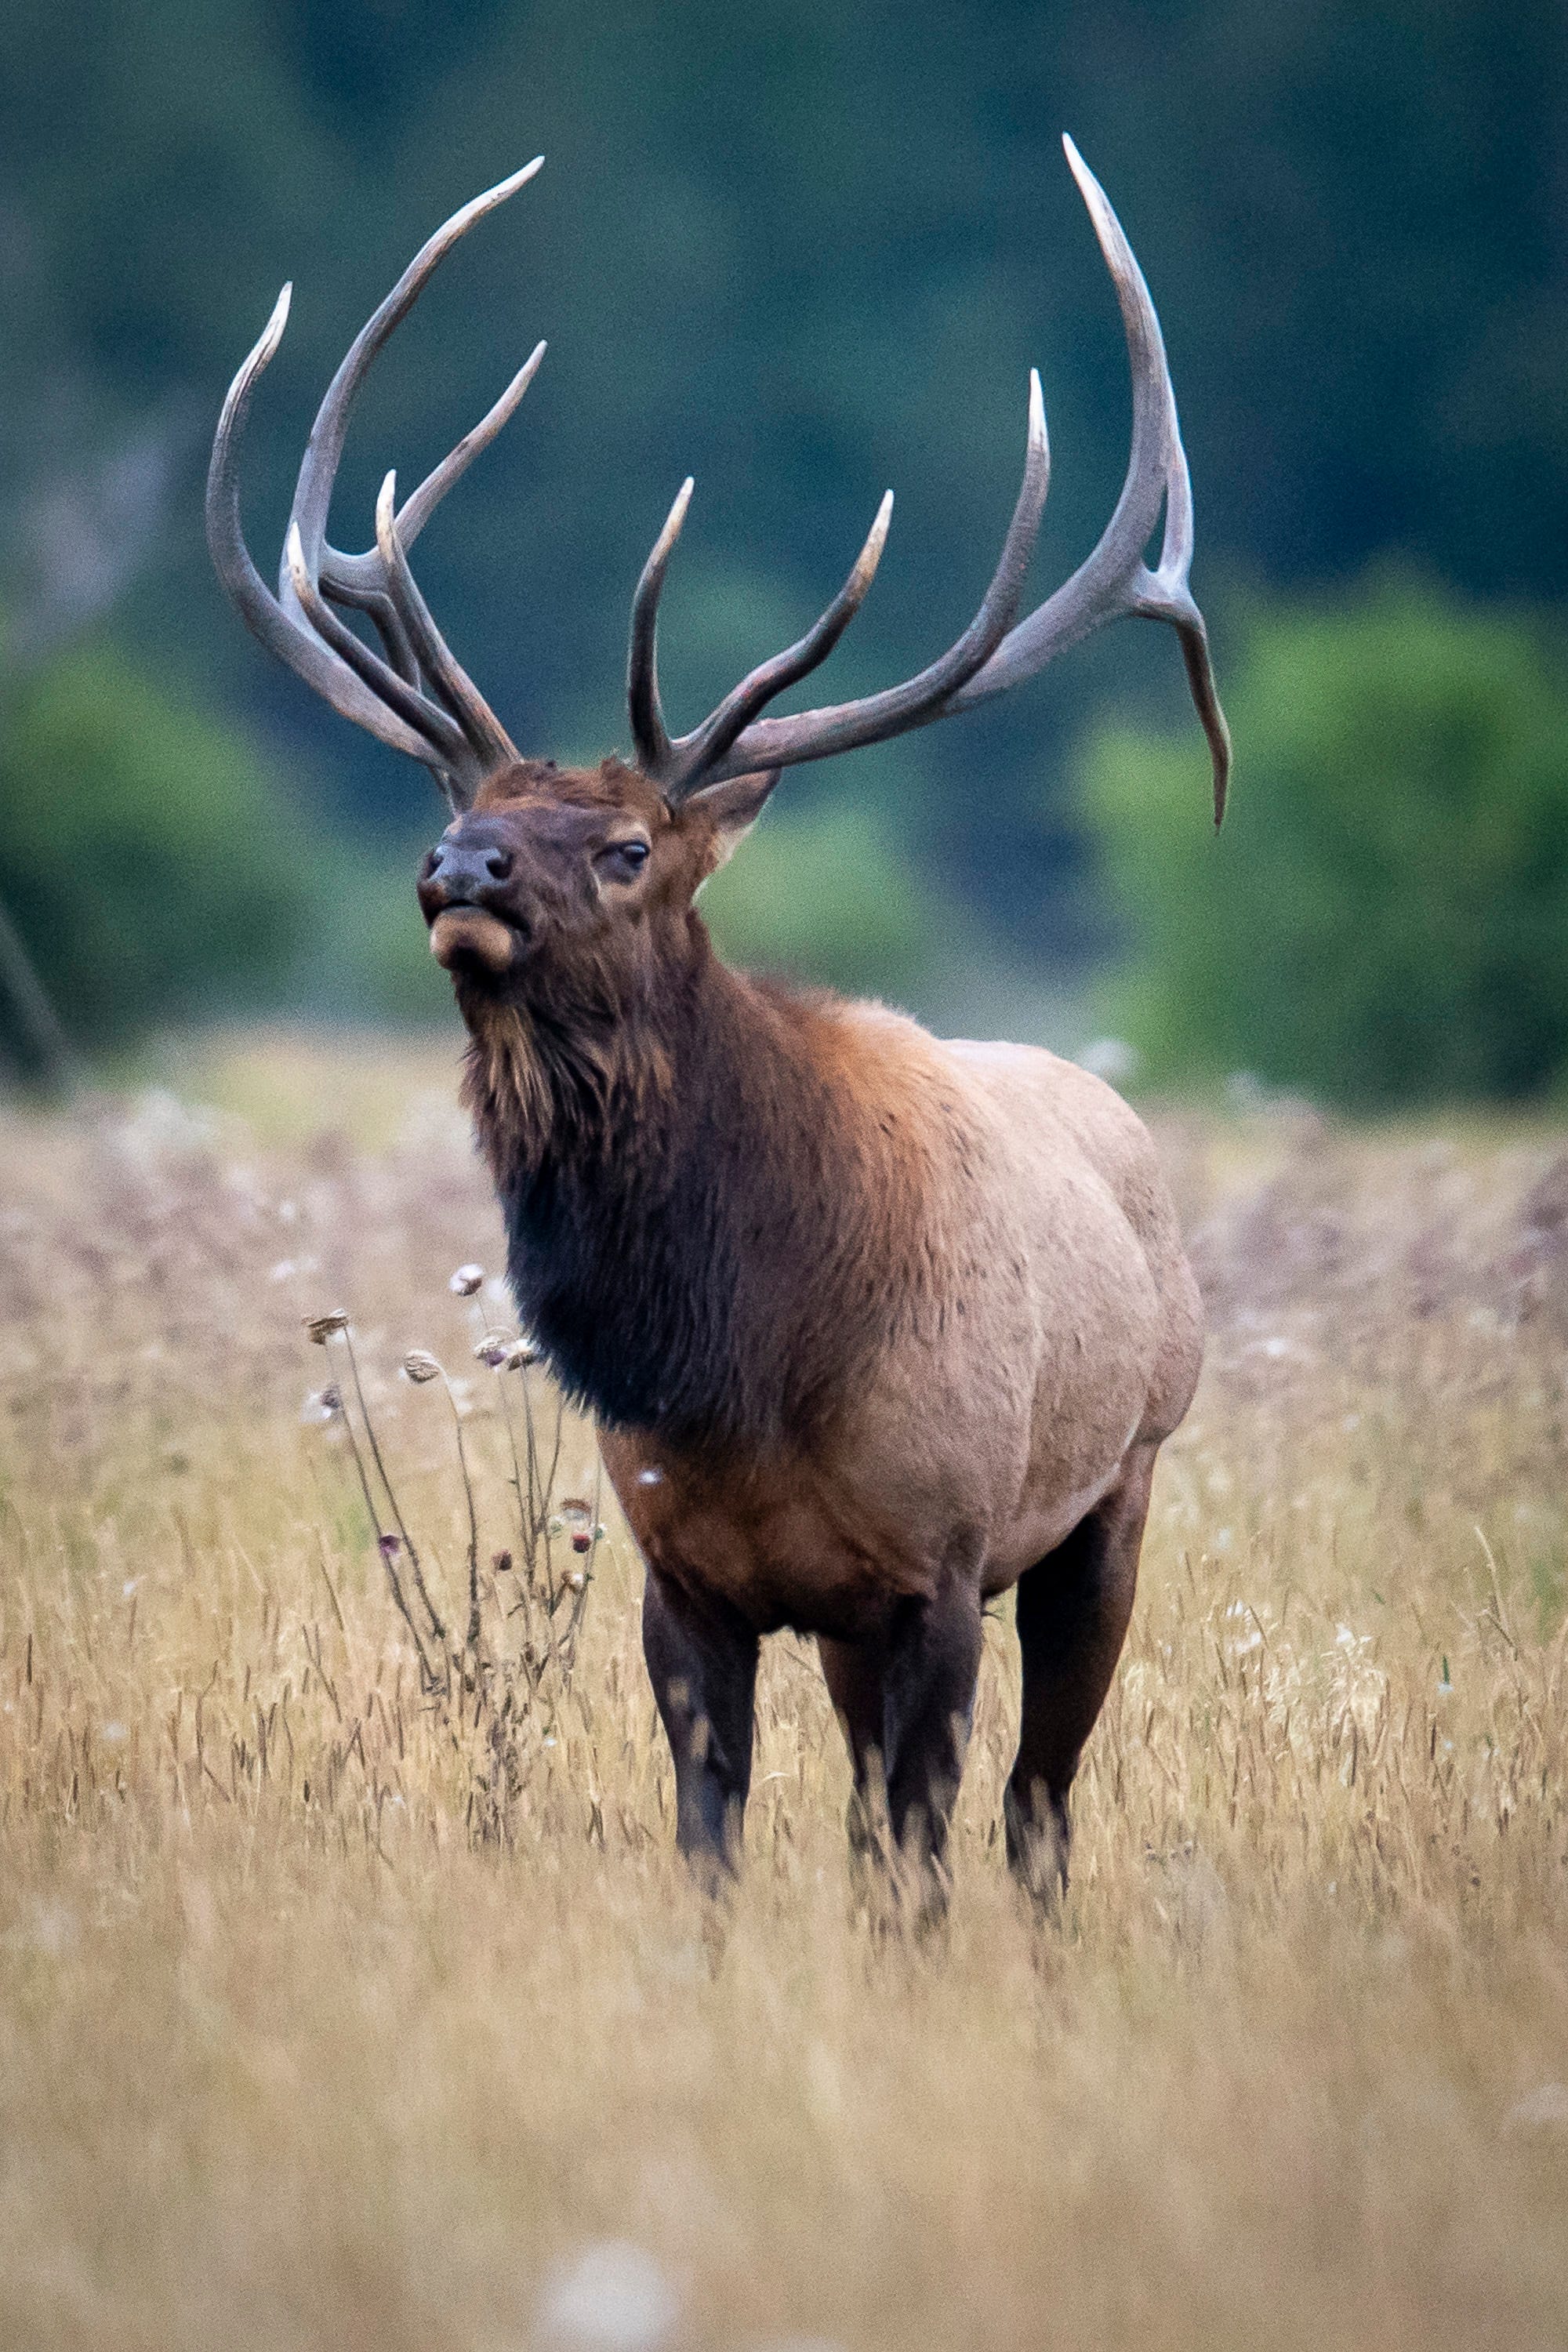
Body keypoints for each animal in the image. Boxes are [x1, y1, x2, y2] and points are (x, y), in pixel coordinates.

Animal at [209, 141, 1229, 1905]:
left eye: (627, 848)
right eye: (468, 807)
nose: (454, 870)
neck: (748, 1363)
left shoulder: (941, 1560)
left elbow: (920, 1865)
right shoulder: (688, 1577)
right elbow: (719, 1850)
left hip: (1118, 1488)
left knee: (1035, 1812)